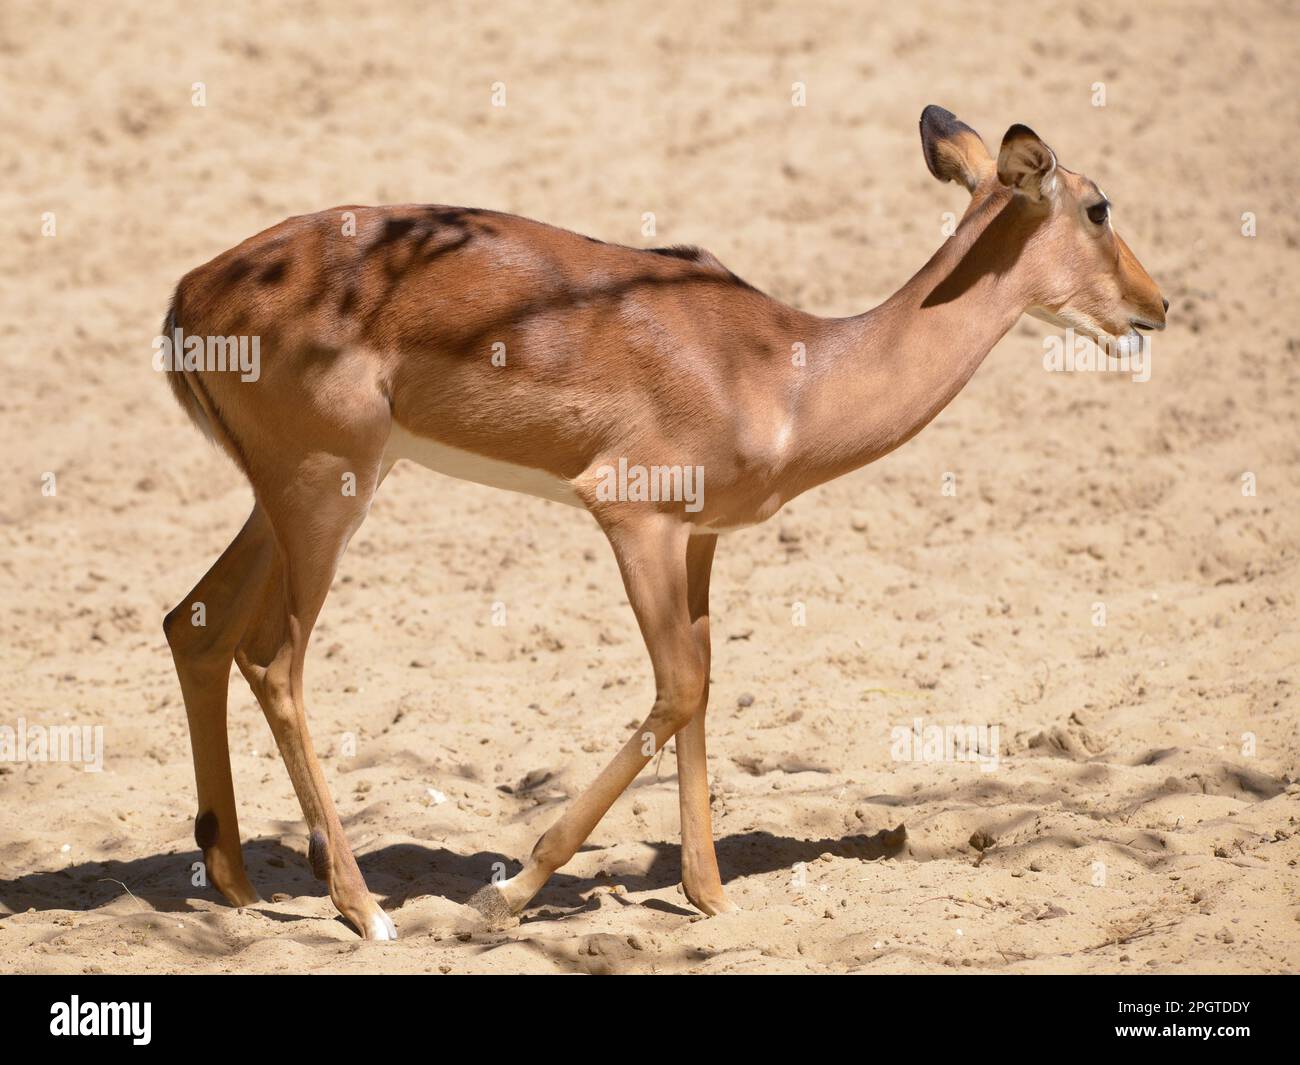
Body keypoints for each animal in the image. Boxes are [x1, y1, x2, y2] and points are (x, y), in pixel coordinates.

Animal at [161, 107, 1167, 939]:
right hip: (325, 494)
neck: (790, 371)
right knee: (274, 661)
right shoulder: (633, 517)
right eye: (1098, 207)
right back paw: (363, 908)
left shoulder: (700, 537)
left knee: (194, 626)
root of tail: (193, 297)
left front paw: (709, 893)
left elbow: (705, 683)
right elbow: (678, 686)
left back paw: (237, 885)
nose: (1156, 306)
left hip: (291, 499)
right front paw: (506, 894)